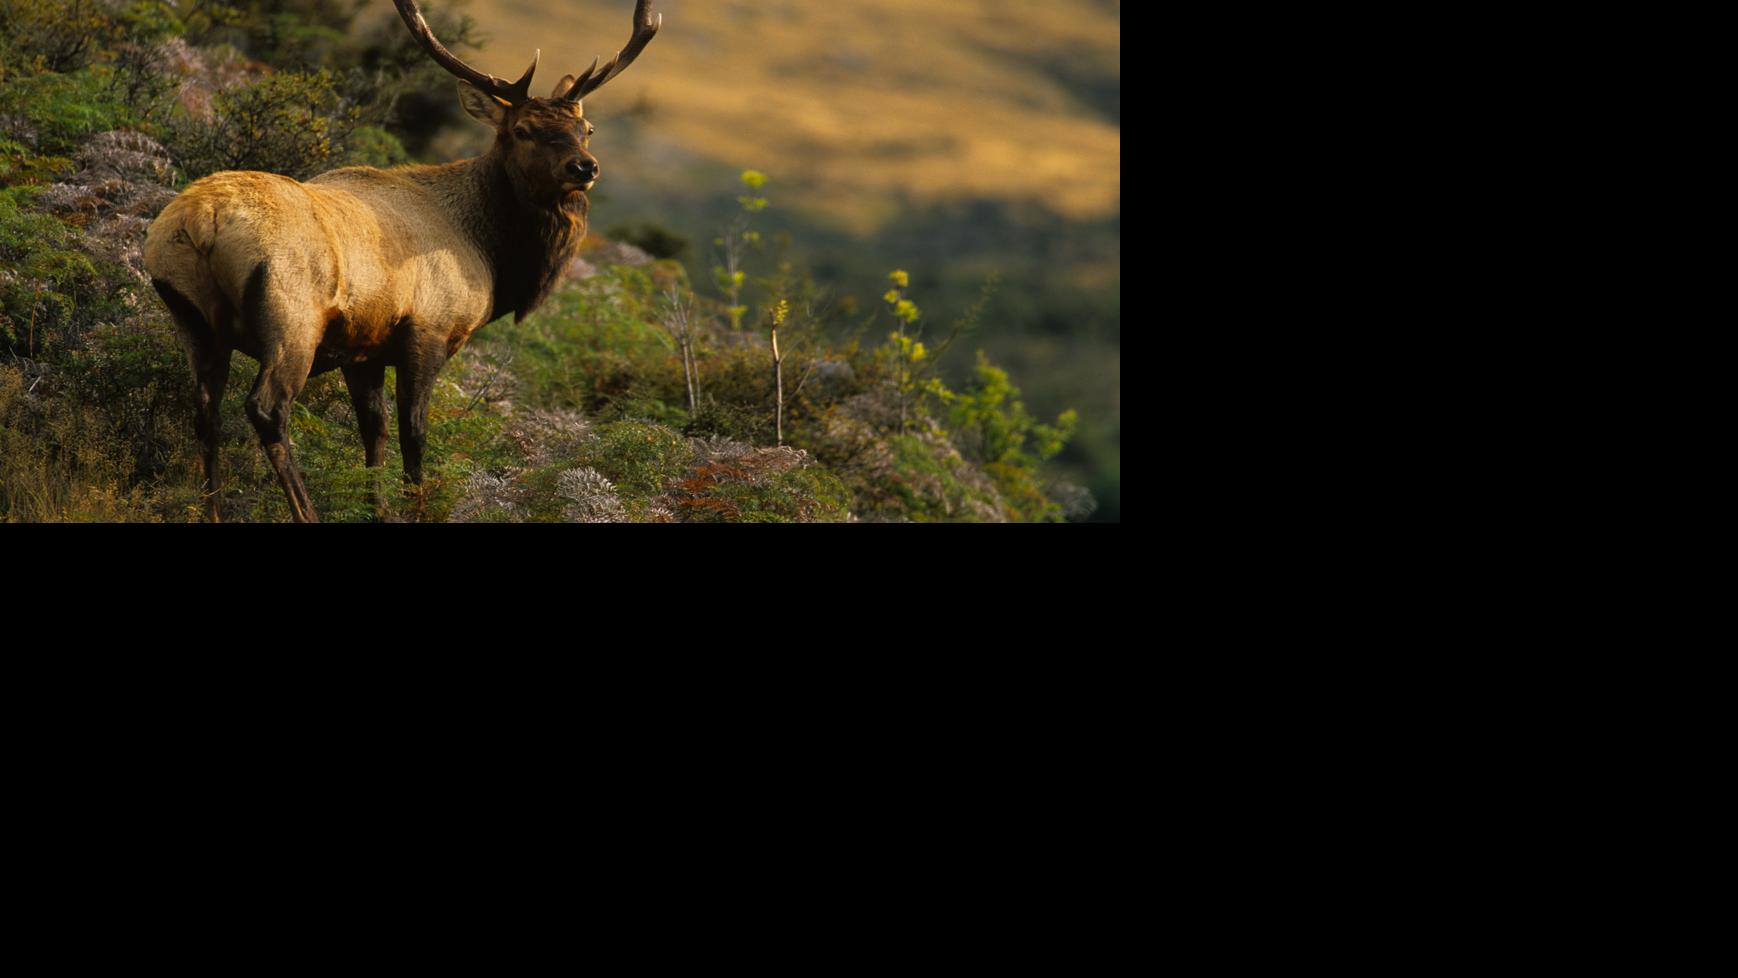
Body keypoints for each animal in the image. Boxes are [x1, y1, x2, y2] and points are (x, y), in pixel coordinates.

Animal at [142, 0, 662, 522]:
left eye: (586, 129)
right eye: (522, 130)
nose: (584, 167)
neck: (490, 252)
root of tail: (201, 221)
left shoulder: (362, 348)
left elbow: (374, 434)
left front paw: (379, 508)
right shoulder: (428, 327)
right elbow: (414, 435)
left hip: (192, 318)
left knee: (204, 409)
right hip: (291, 316)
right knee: (267, 407)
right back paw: (306, 510)